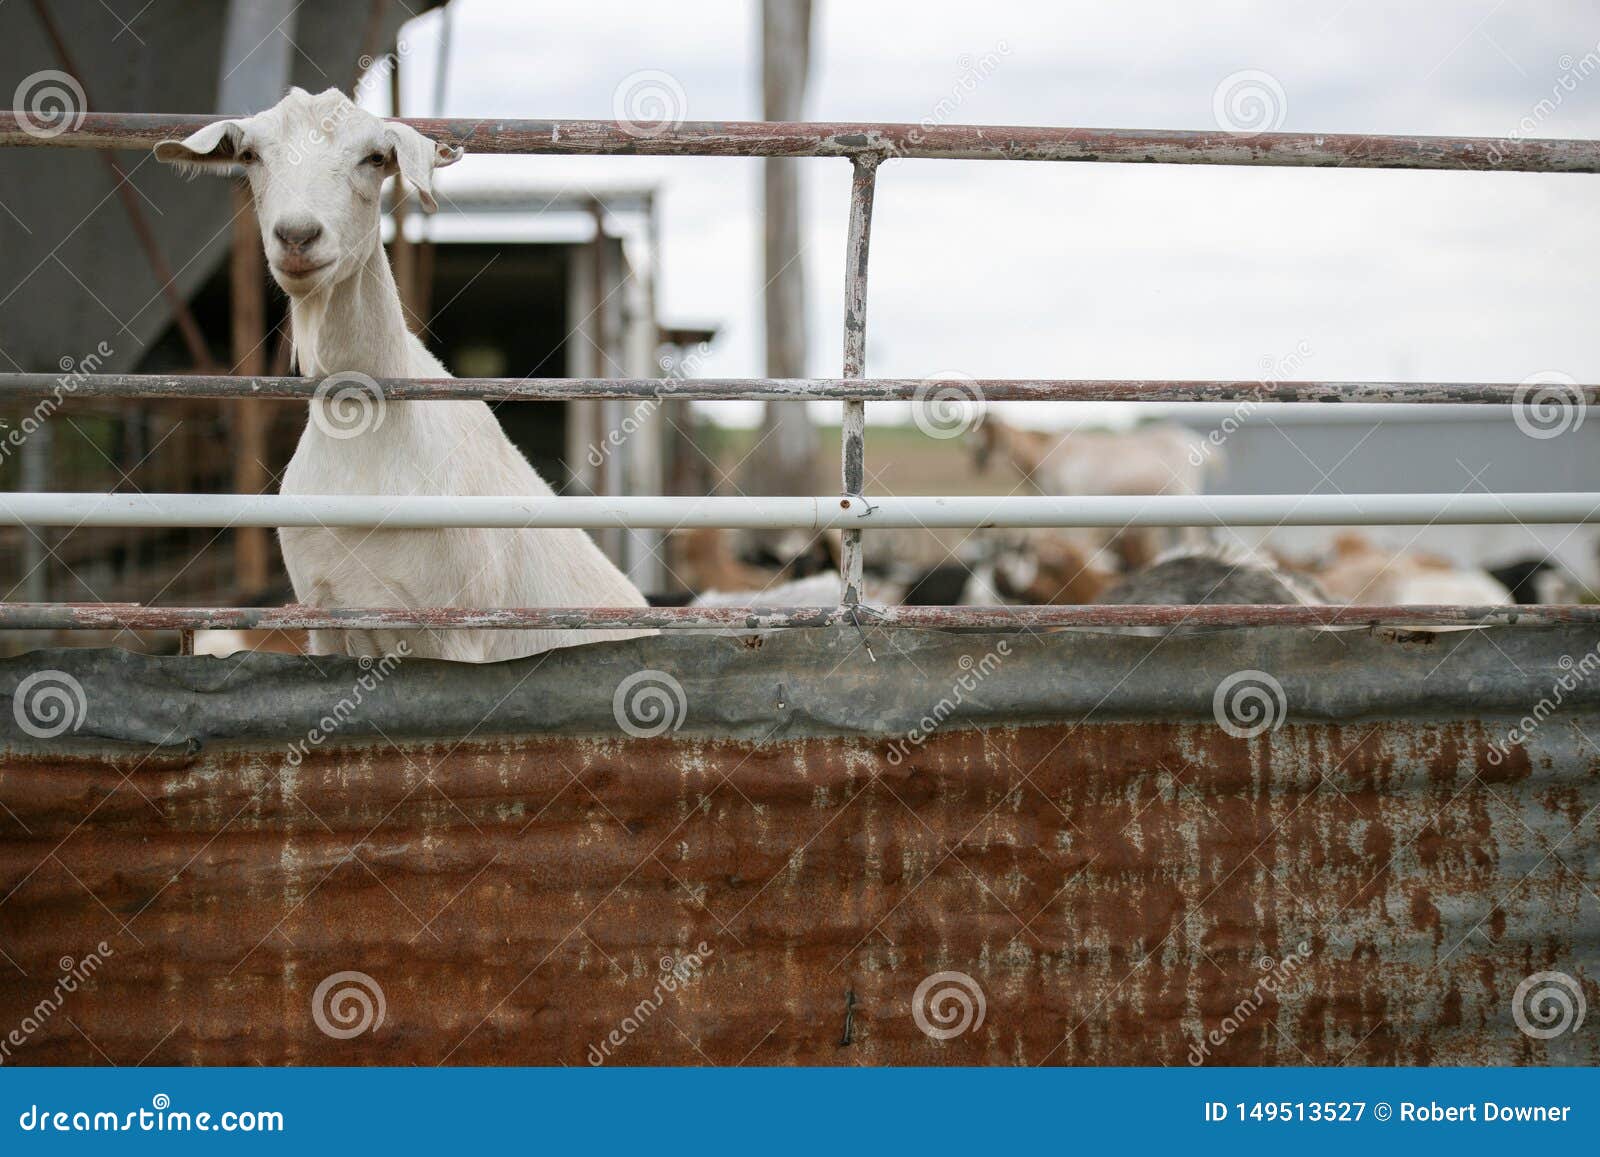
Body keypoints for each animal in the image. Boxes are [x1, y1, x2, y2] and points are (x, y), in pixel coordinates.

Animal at [156, 88, 652, 661]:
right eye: (251, 156)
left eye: (374, 158)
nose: (297, 236)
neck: (364, 440)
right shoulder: (324, 619)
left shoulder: (458, 629)